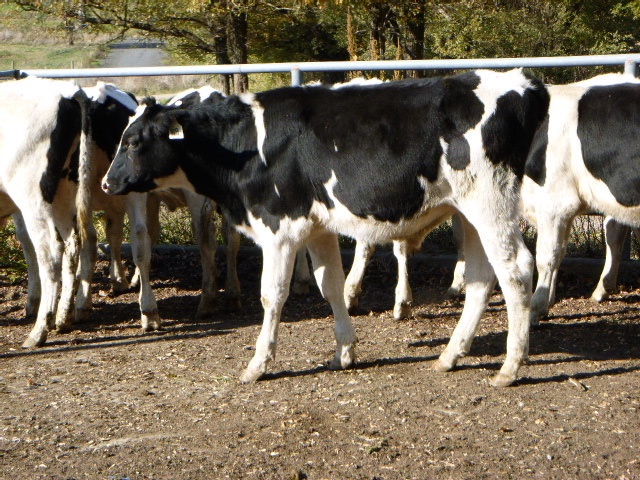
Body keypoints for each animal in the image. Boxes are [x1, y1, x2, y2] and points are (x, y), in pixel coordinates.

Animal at [102, 69, 550, 387]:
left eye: (134, 141)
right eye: (122, 136)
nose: (107, 183)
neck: (244, 146)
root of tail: (523, 82)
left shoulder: (279, 229)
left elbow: (272, 295)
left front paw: (258, 364)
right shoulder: (317, 228)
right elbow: (330, 285)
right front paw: (344, 351)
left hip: (491, 204)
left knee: (516, 270)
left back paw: (511, 366)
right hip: (469, 213)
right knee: (480, 277)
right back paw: (451, 355)